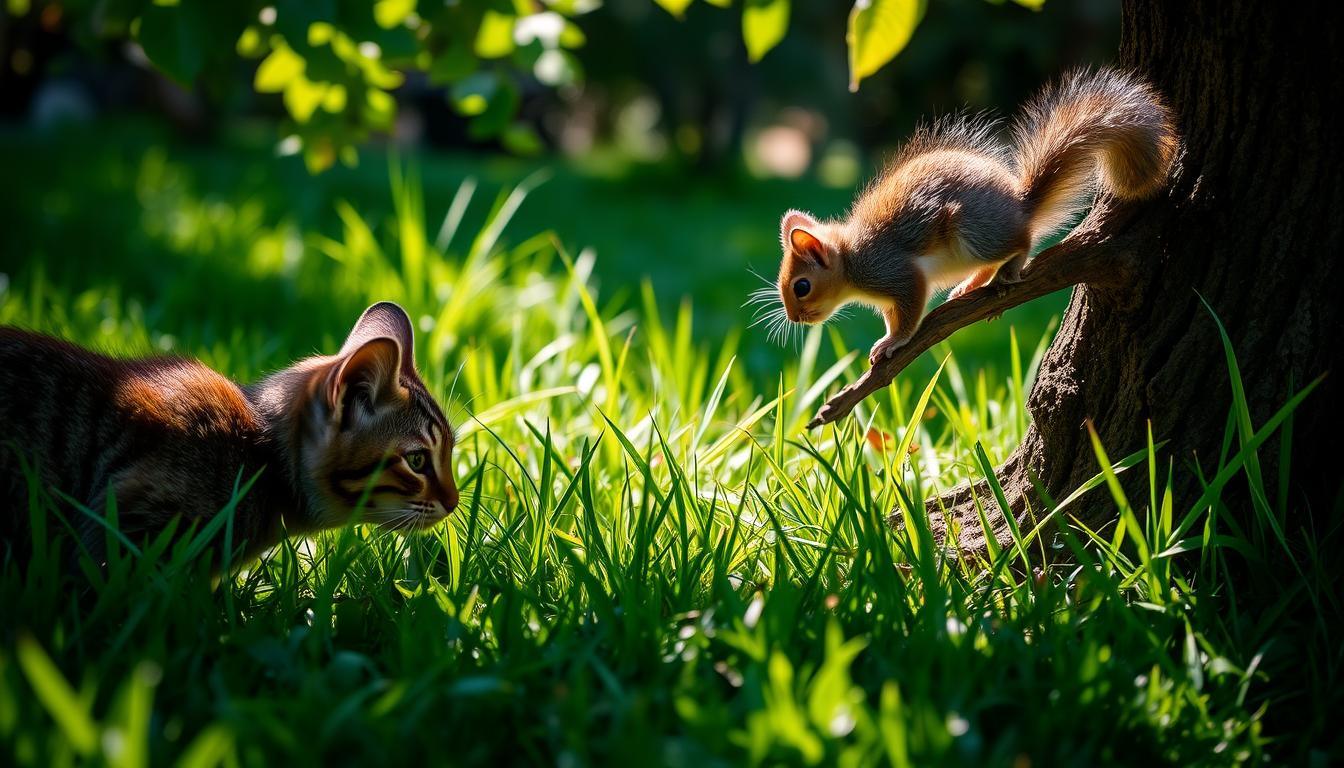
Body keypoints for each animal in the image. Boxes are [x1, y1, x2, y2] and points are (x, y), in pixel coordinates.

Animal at [773, 68, 1178, 366]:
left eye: (802, 286)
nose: (794, 318)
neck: (852, 259)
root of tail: (1020, 207)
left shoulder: (892, 271)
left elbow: (910, 308)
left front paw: (894, 342)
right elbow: (893, 314)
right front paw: (884, 338)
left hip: (976, 232)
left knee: (1020, 243)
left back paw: (1009, 268)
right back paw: (970, 285)